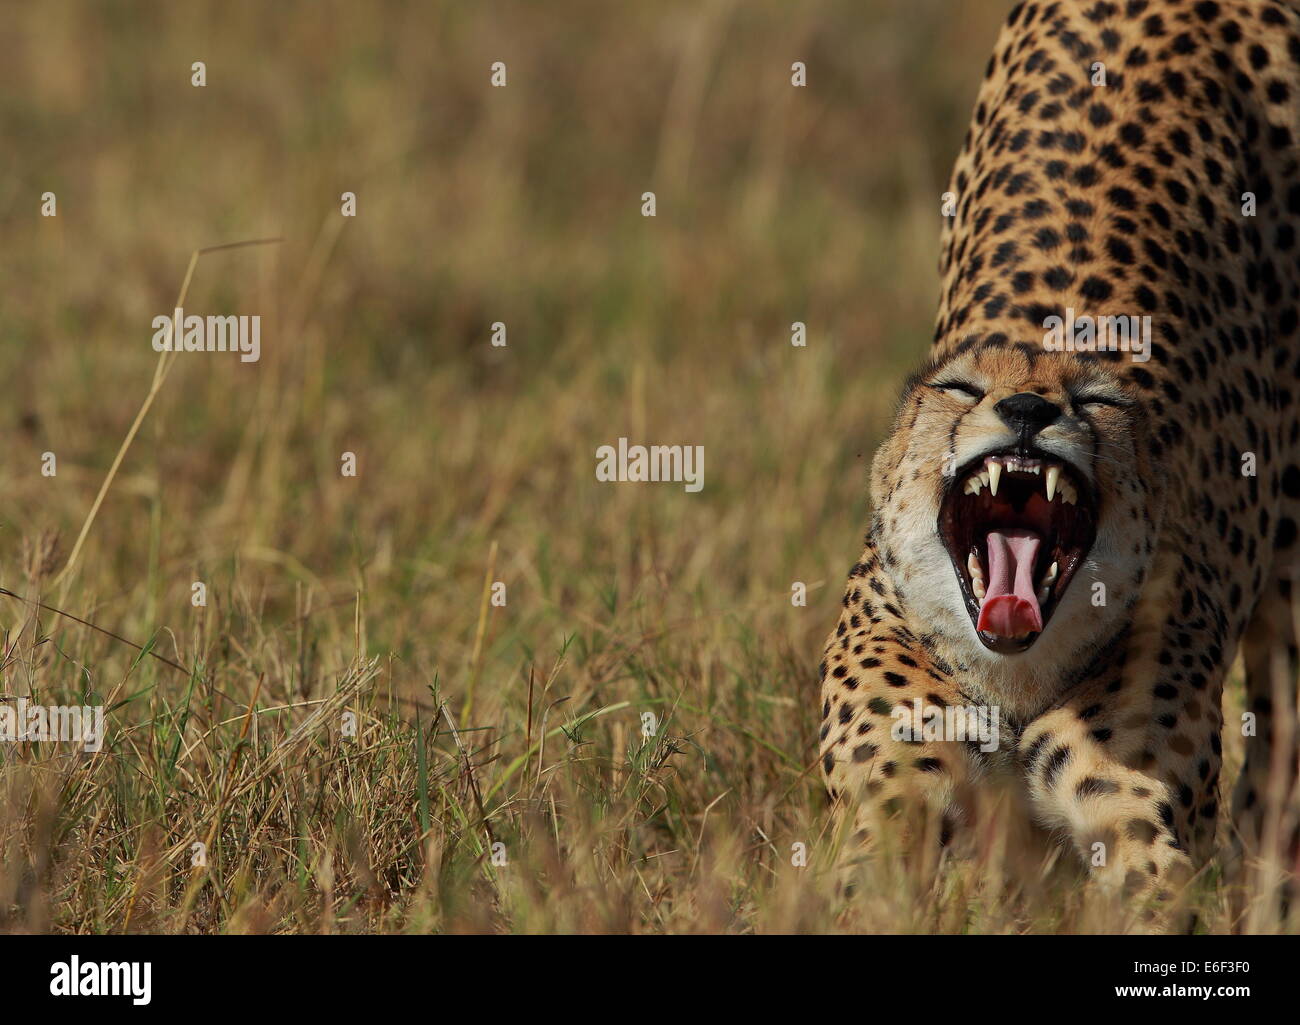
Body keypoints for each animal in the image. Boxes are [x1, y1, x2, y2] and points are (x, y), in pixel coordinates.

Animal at [819, 0, 1300, 926]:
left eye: (1094, 400)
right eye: (963, 388)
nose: (1028, 411)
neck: (1013, 680)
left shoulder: (1136, 803)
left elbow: (1155, 887)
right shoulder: (890, 783)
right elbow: (873, 867)